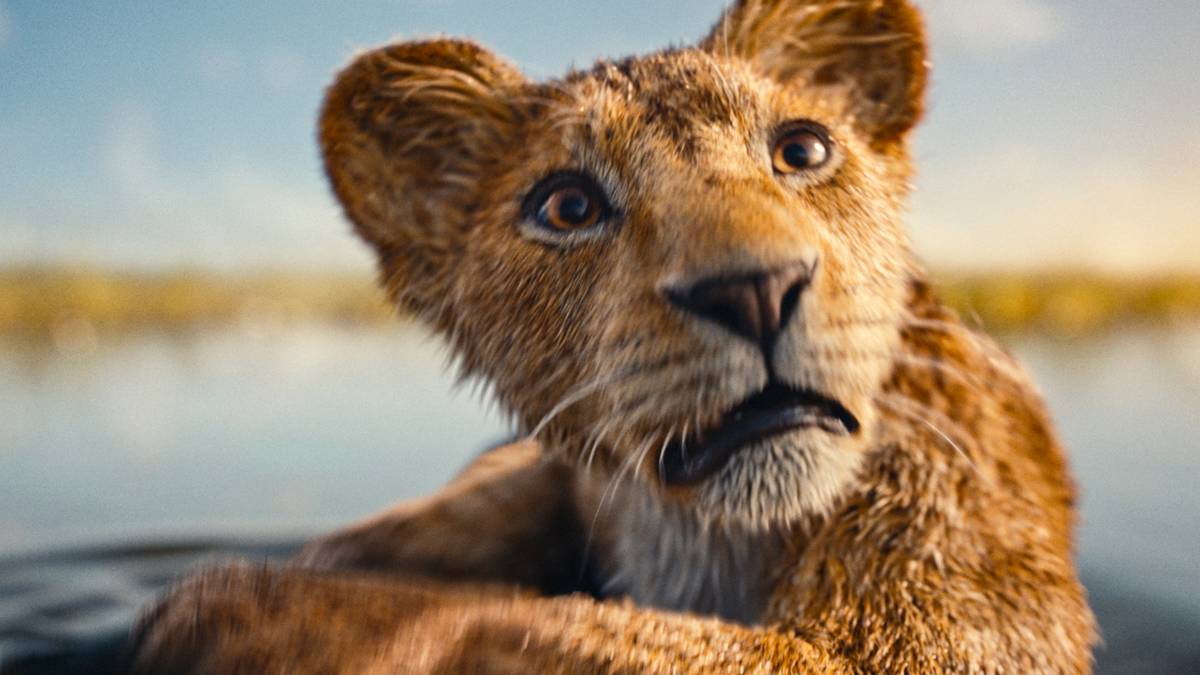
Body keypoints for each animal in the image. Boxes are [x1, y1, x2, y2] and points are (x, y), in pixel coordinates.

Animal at [129, 0, 1097, 672]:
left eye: (803, 150)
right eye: (568, 206)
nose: (755, 289)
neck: (706, 538)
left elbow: (512, 620)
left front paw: (256, 611)